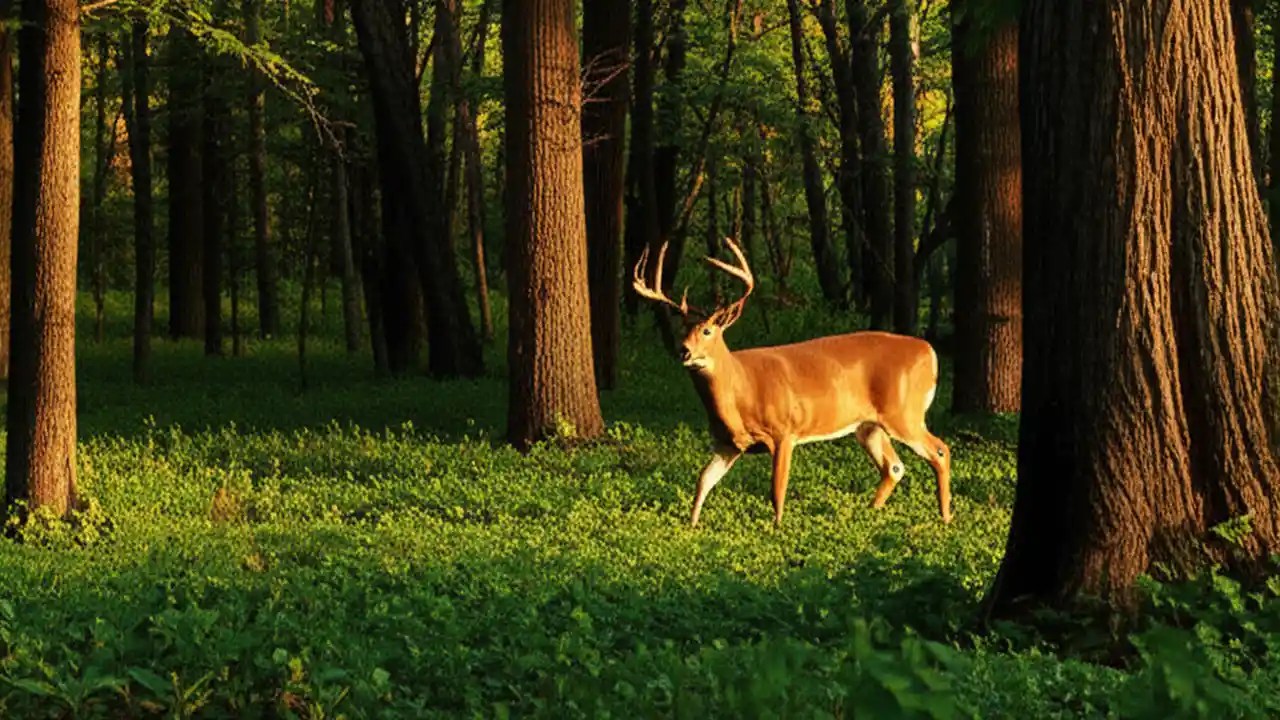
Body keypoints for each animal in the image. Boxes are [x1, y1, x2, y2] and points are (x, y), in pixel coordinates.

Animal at [633, 237, 952, 528]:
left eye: (708, 331)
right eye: (683, 329)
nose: (684, 351)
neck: (740, 387)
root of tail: (929, 352)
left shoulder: (784, 431)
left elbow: (777, 490)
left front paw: (776, 528)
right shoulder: (728, 443)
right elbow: (702, 482)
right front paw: (691, 526)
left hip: (904, 412)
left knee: (939, 450)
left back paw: (945, 516)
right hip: (868, 425)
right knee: (894, 467)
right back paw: (869, 514)